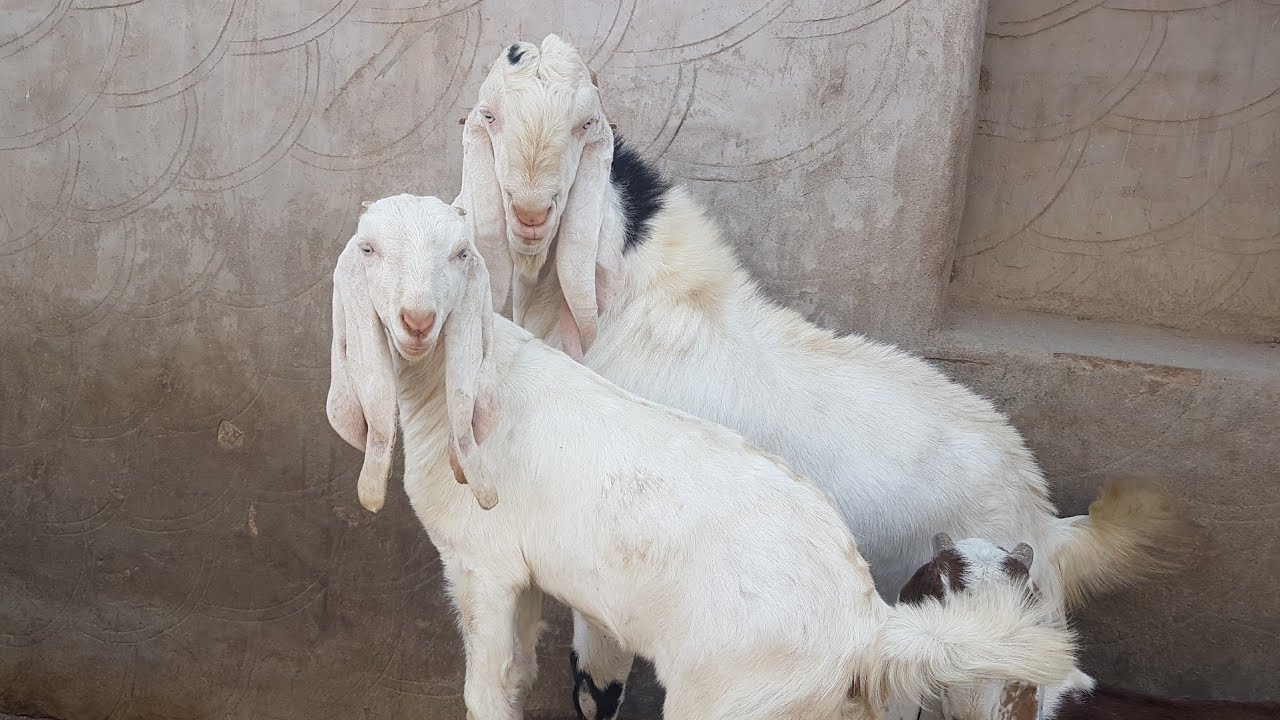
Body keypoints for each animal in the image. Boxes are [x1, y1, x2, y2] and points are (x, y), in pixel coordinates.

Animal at [327, 193, 1081, 720]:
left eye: (461, 254)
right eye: (368, 249)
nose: (418, 321)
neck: (474, 386)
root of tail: (865, 623)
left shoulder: (481, 563)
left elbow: (486, 691)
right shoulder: (524, 573)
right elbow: (516, 674)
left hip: (732, 698)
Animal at [452, 33, 1193, 720]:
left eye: (588, 124)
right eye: (488, 115)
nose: (530, 216)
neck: (633, 303)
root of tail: (1044, 518)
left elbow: (596, 678)